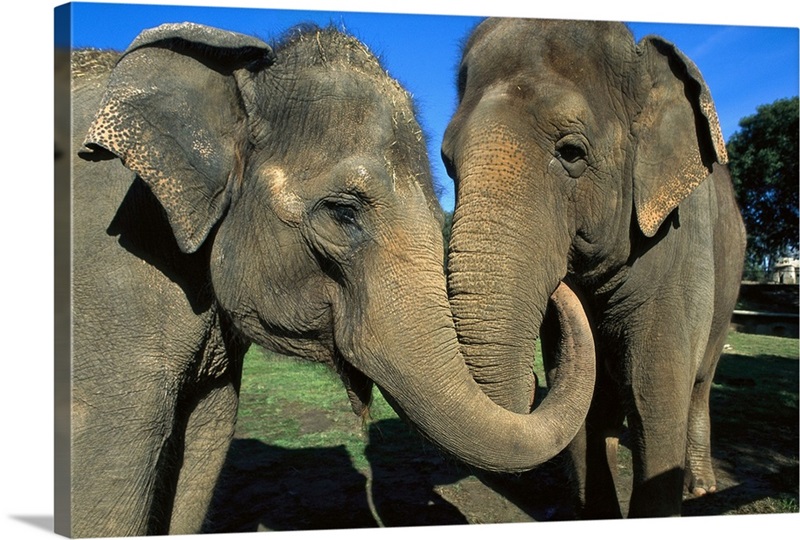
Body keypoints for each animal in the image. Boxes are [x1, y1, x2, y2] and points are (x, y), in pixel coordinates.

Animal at [441, 18, 747, 519]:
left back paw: (702, 488)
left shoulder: (683, 246)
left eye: (571, 152)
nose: (561, 286)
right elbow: (587, 408)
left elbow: (655, 395)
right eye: (448, 163)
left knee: (700, 382)